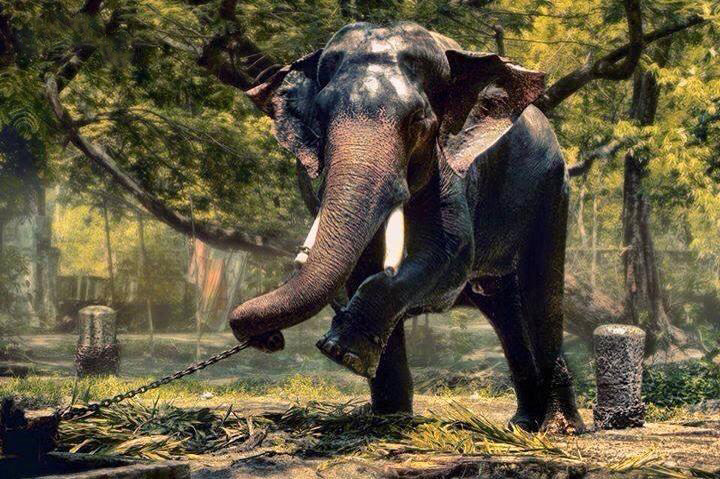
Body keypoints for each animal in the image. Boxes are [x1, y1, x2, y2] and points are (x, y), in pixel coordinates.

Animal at [229, 21, 584, 434]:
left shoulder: (453, 164)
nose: (269, 339)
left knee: (540, 292)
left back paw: (561, 428)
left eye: (418, 121)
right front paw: (387, 417)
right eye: (320, 115)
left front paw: (339, 352)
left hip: (552, 189)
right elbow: (362, 264)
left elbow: (450, 255)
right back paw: (523, 424)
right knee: (503, 304)